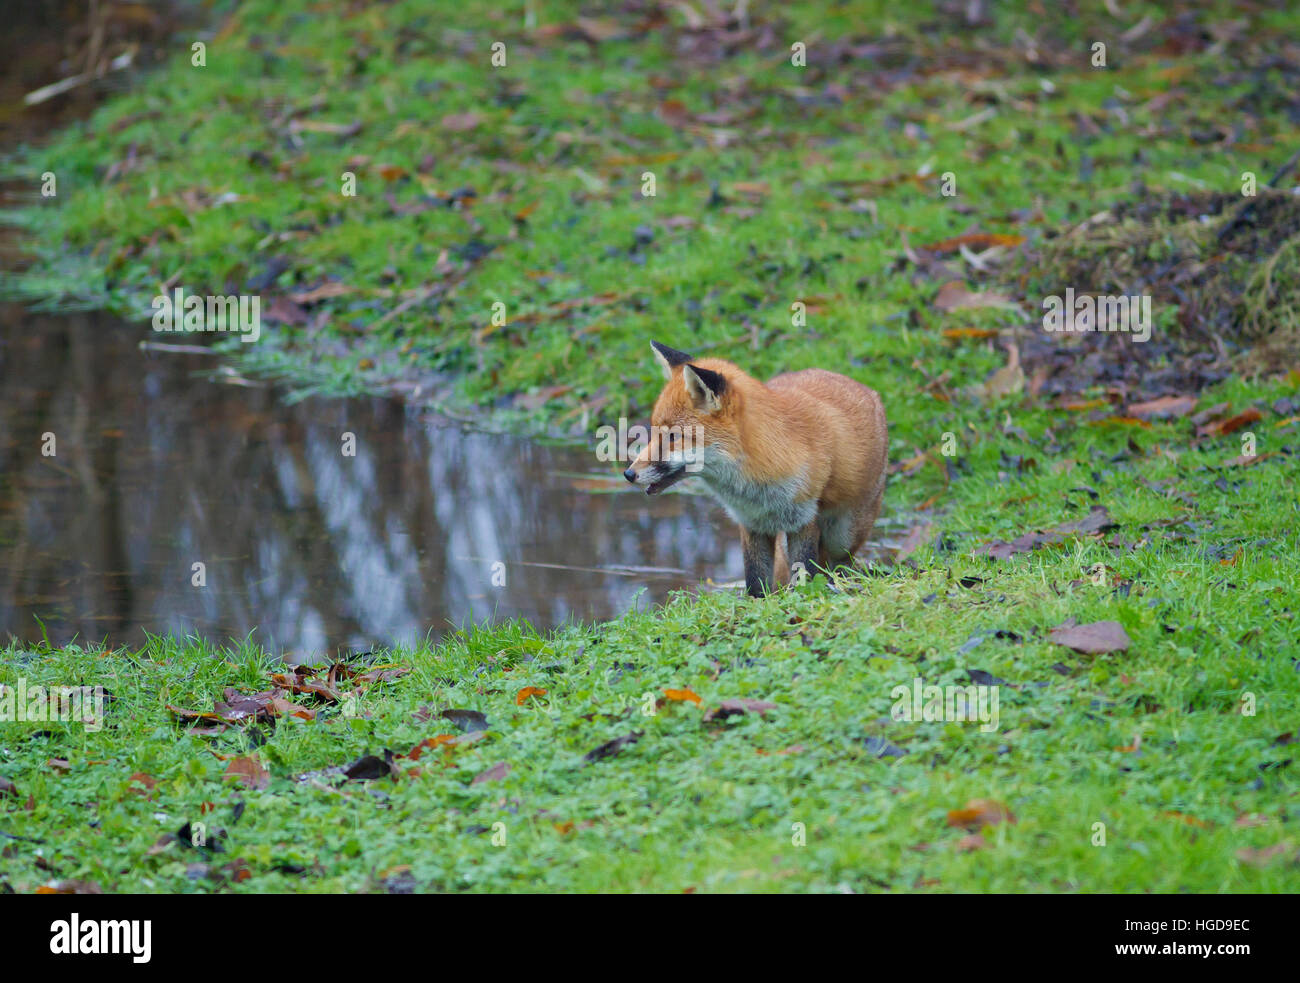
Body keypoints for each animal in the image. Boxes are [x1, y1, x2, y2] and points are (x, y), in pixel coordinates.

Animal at [623, 340, 888, 597]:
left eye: (674, 437)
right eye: (655, 430)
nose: (628, 474)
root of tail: (865, 388)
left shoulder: (805, 519)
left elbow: (805, 573)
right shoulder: (752, 523)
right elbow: (755, 580)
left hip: (842, 536)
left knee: (839, 565)